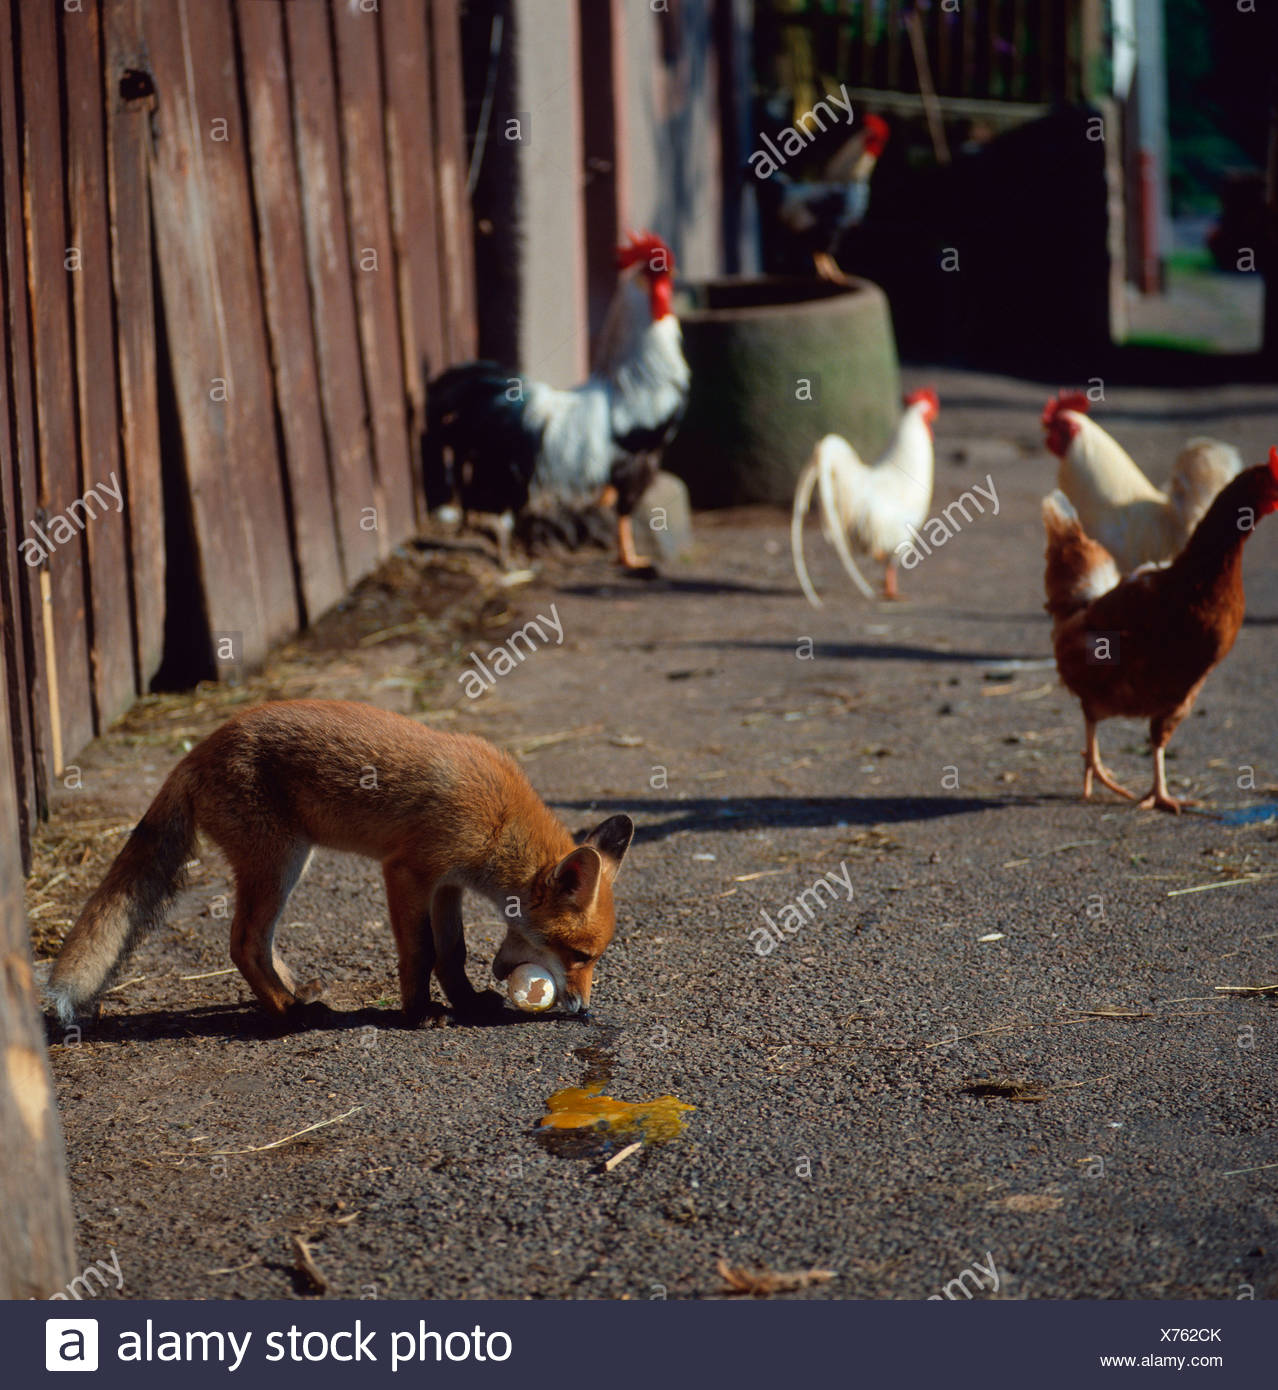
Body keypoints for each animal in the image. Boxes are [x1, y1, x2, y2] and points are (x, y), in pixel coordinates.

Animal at [47, 700, 634, 1027]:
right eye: (580, 956)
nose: (584, 1011)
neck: (498, 819)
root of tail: (196, 750)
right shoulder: (406, 873)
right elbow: (420, 954)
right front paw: (418, 1015)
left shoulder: (446, 886)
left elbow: (452, 953)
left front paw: (466, 1004)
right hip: (277, 863)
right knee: (242, 943)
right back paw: (288, 1015)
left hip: (291, 864)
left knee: (260, 942)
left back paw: (293, 994)